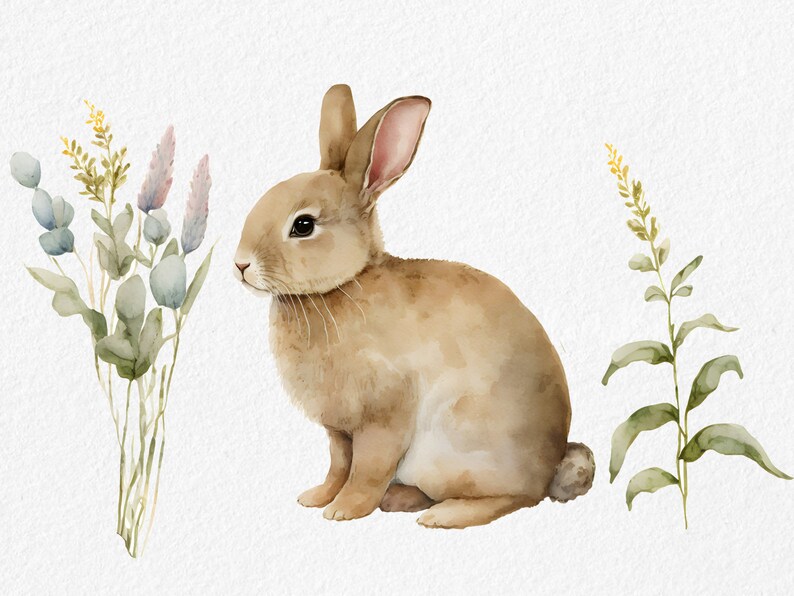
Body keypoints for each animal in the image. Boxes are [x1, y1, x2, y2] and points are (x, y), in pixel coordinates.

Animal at [233, 84, 595, 528]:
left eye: (303, 225)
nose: (241, 264)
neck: (343, 286)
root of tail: (552, 464)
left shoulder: (383, 418)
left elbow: (367, 469)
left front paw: (343, 511)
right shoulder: (339, 431)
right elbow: (338, 465)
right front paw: (316, 498)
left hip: (454, 450)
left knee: (514, 497)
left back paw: (442, 516)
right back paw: (401, 499)